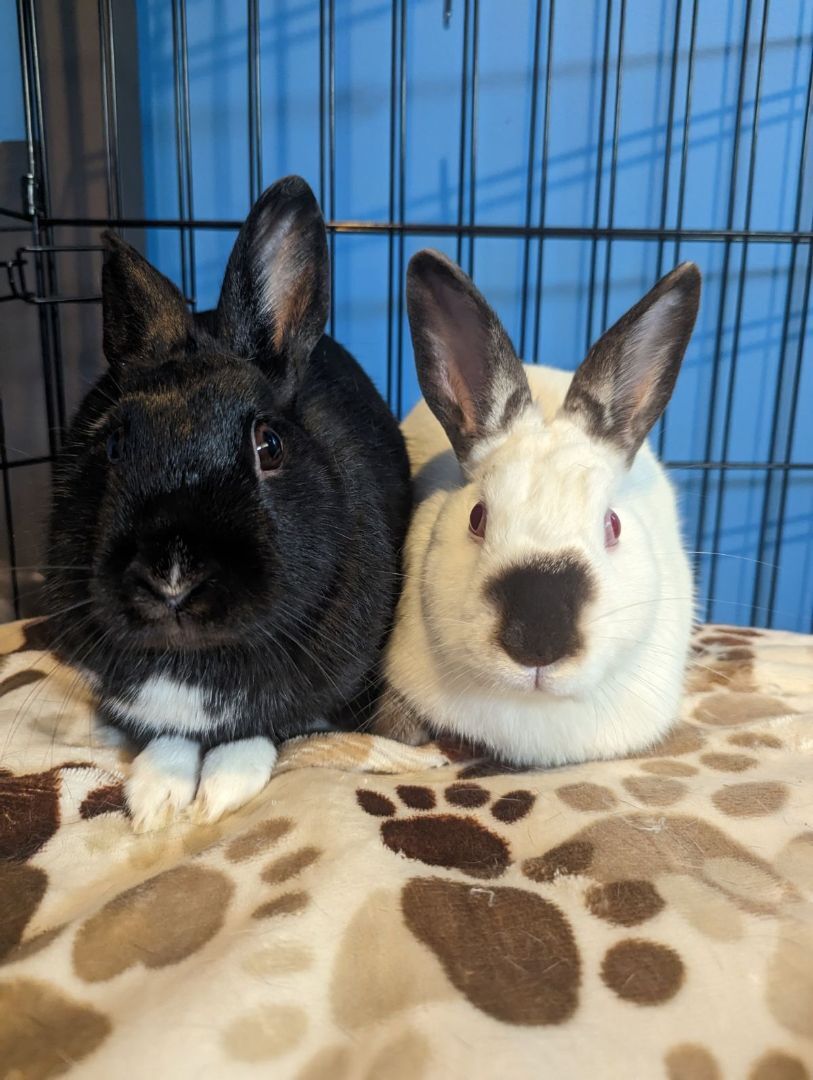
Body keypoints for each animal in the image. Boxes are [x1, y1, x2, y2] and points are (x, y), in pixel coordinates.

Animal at [45, 175, 411, 831]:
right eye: (112, 444)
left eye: (270, 445)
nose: (171, 580)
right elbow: (169, 735)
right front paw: (157, 799)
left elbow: (258, 731)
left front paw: (219, 791)